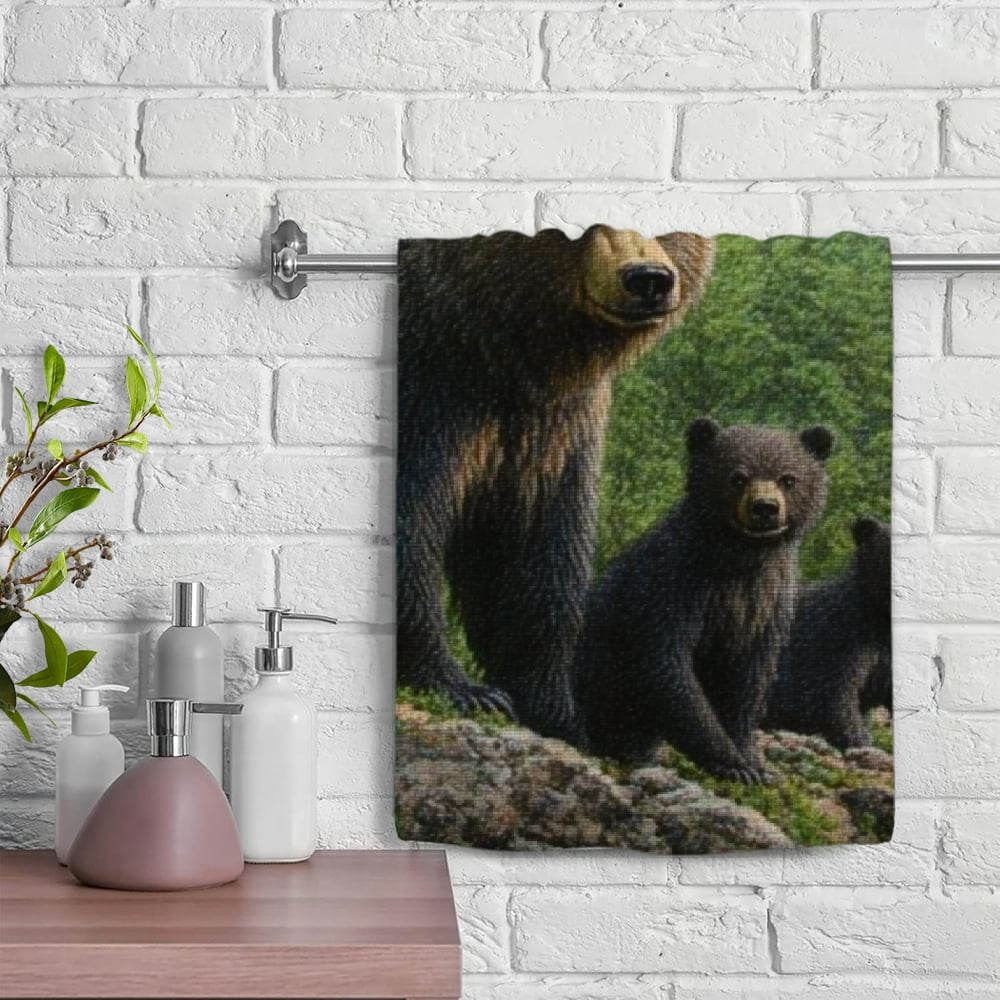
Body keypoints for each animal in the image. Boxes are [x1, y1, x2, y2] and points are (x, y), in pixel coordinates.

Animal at [397, 225, 714, 740]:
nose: (648, 279)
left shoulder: (550, 426)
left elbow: (539, 547)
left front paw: (560, 710)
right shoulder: (432, 388)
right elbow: (411, 519)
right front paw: (464, 688)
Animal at [574, 417, 834, 782]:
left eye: (788, 478)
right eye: (737, 476)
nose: (765, 508)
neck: (739, 560)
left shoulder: (768, 603)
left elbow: (748, 682)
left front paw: (752, 760)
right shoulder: (675, 586)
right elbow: (666, 666)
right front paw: (734, 764)